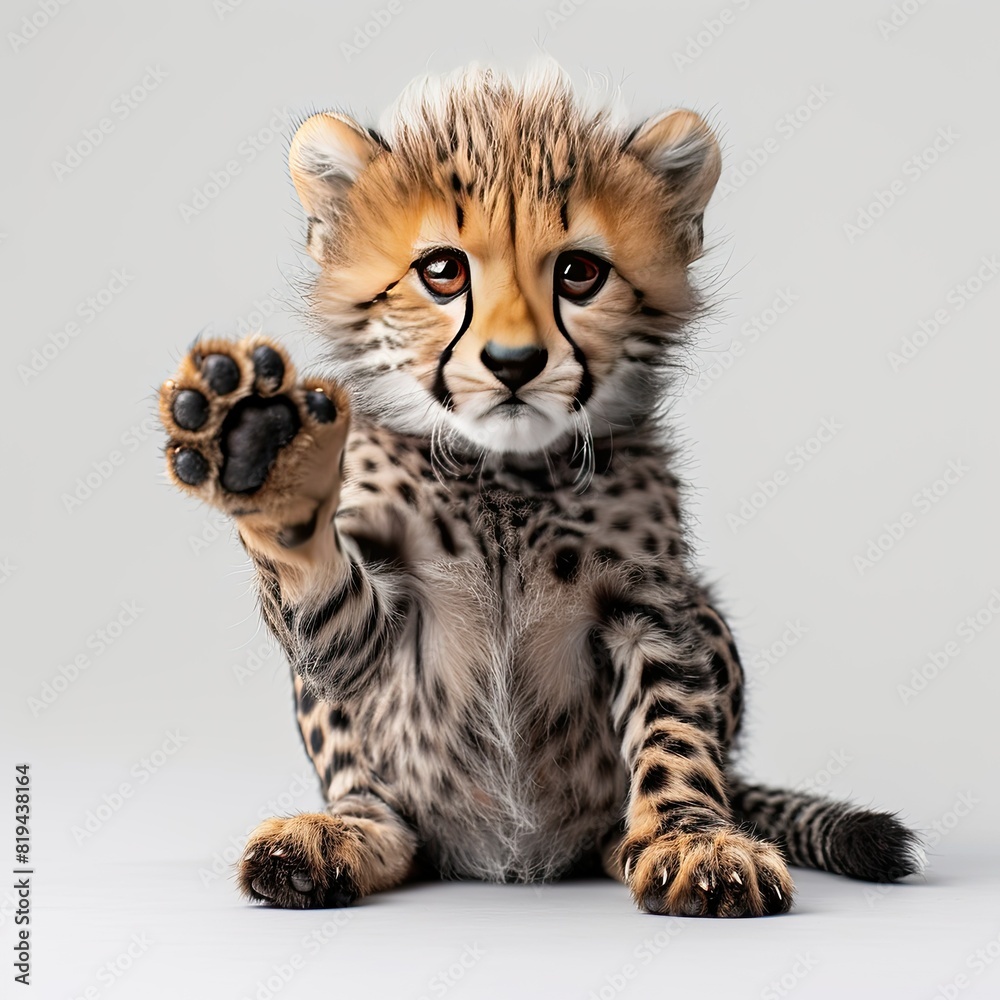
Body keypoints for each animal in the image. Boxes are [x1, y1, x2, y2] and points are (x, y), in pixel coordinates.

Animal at [157, 63, 922, 917]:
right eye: (443, 270)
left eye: (579, 273)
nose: (514, 362)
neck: (505, 479)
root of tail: (510, 859)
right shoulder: (374, 623)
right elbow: (327, 609)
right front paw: (264, 452)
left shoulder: (652, 604)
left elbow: (674, 728)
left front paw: (692, 839)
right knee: (382, 808)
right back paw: (337, 837)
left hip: (707, 615)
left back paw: (627, 839)